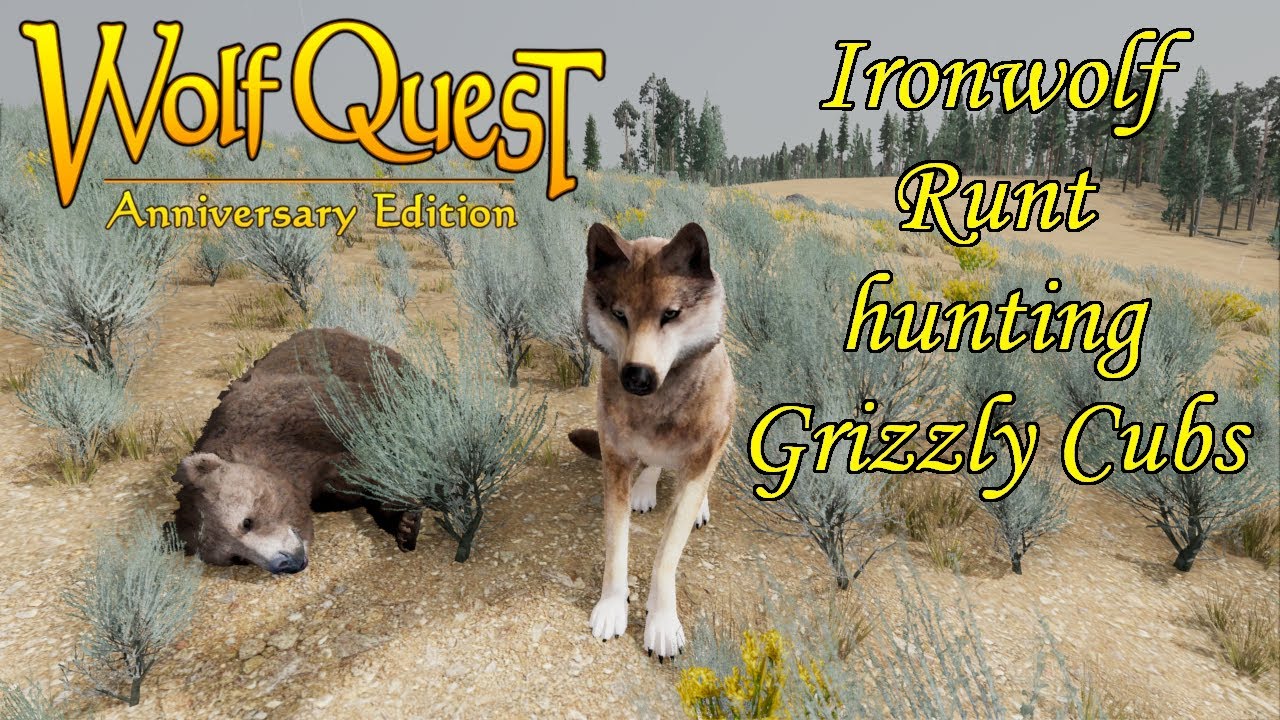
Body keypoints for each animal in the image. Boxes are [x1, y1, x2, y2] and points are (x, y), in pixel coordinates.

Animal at [172, 328, 421, 574]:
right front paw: (403, 523)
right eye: (237, 557)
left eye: (246, 522)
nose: (283, 563)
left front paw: (405, 521)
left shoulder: (310, 411)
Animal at [568, 222, 735, 660]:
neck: (657, 407)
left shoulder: (701, 455)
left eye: (671, 315)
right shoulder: (615, 462)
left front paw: (661, 624)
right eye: (619, 315)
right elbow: (616, 546)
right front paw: (612, 607)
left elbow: (666, 557)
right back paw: (646, 487)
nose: (637, 376)